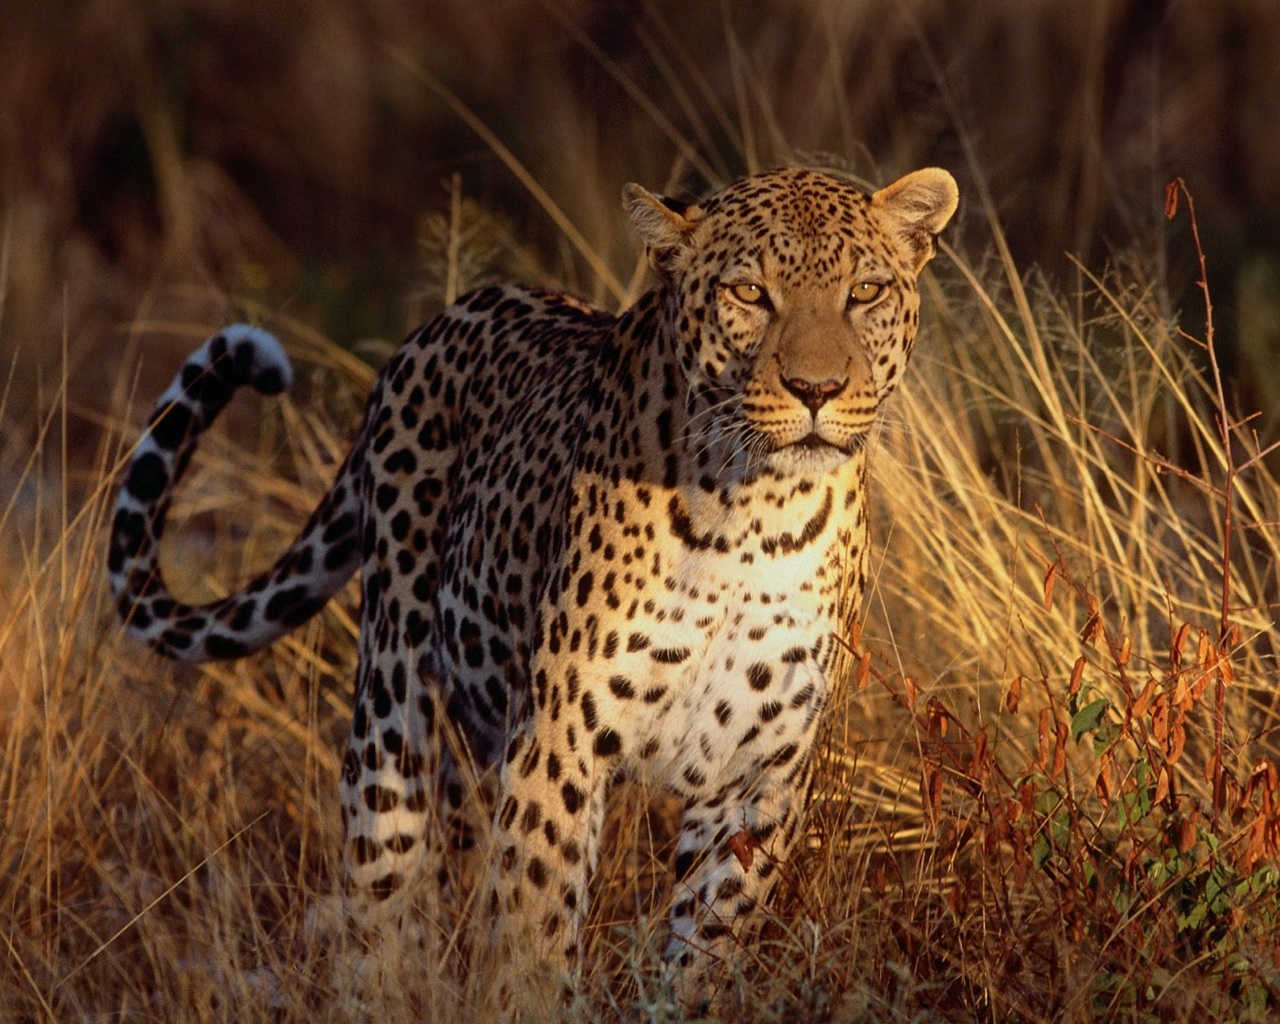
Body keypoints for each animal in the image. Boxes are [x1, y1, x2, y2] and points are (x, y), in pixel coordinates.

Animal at [108, 165, 958, 1018]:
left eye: (866, 291)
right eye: (749, 292)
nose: (817, 388)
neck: (756, 516)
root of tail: (441, 321)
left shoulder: (757, 775)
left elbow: (703, 955)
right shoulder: (559, 739)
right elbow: (535, 931)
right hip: (392, 703)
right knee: (379, 896)